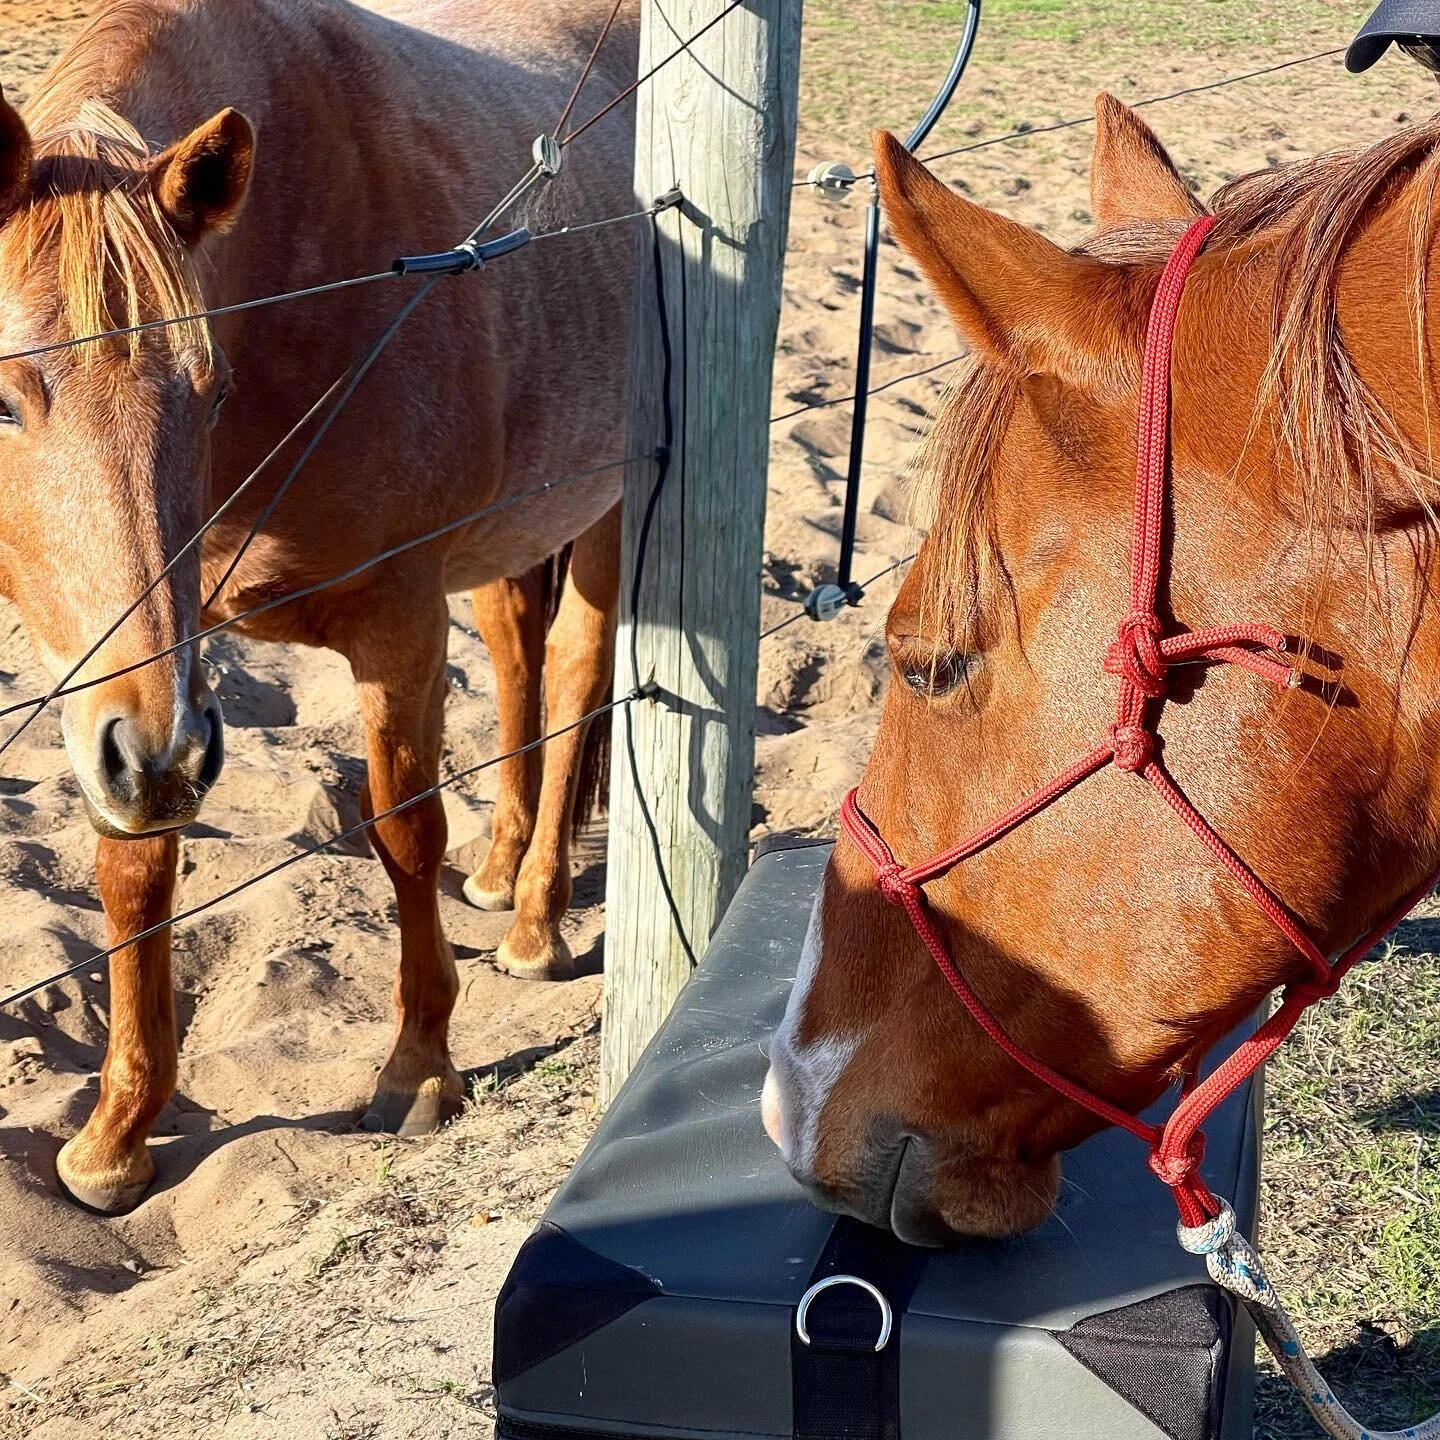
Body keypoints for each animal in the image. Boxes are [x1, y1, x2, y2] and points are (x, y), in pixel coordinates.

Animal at [0, 0, 637, 1214]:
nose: (158, 759)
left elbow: (402, 827)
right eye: (5, 398)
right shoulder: (123, 674)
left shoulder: (395, 621)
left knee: (580, 672)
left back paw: (536, 920)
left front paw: (421, 1068)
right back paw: (499, 873)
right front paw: (115, 1138)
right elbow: (131, 866)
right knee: (520, 660)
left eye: (209, 390)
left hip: (613, 499)